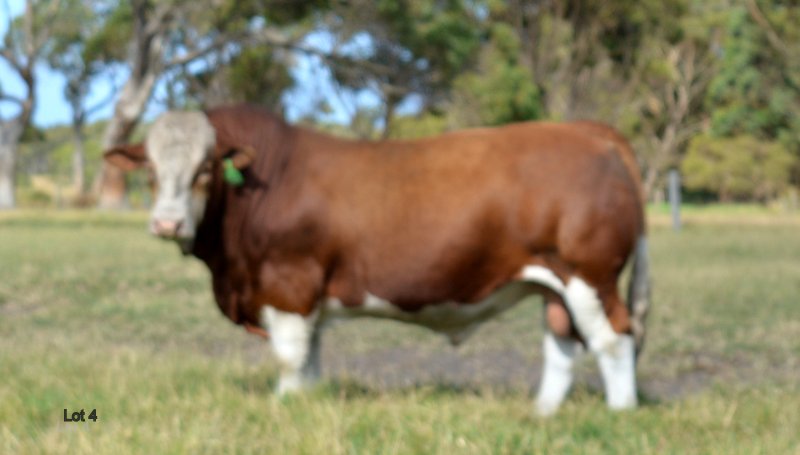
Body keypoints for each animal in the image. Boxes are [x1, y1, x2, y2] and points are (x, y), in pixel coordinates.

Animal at [104, 104, 650, 416]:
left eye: (204, 168)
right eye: (150, 170)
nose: (167, 223)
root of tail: (587, 131)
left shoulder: (288, 284)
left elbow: (289, 354)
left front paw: (284, 404)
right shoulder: (307, 296)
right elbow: (310, 356)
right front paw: (306, 400)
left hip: (590, 275)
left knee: (614, 340)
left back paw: (620, 412)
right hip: (552, 282)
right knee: (562, 343)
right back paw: (541, 412)